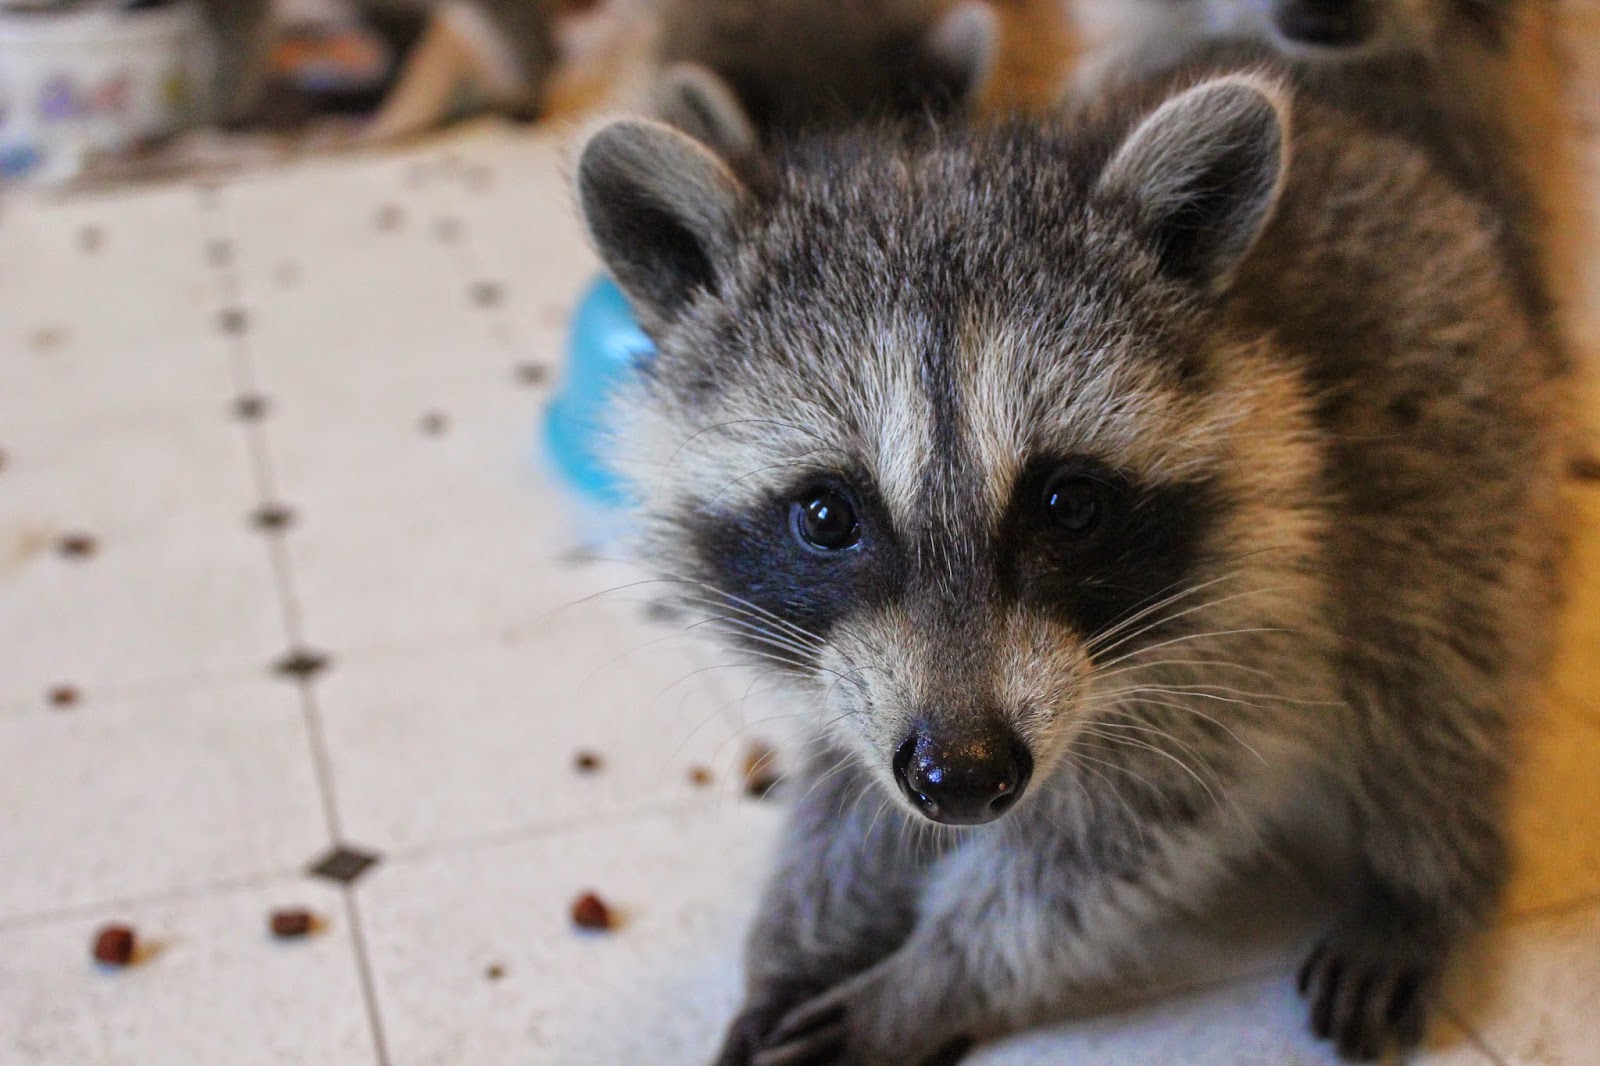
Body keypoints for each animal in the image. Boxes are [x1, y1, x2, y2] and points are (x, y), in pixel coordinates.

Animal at [576, 38, 1569, 1066]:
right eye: (825, 515)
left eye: (1069, 504)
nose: (965, 781)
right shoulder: (852, 673)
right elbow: (847, 790)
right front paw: (803, 935)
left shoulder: (1257, 606)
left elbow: (1111, 837)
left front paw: (927, 981)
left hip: (1460, 450)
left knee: (1437, 672)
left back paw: (1426, 879)